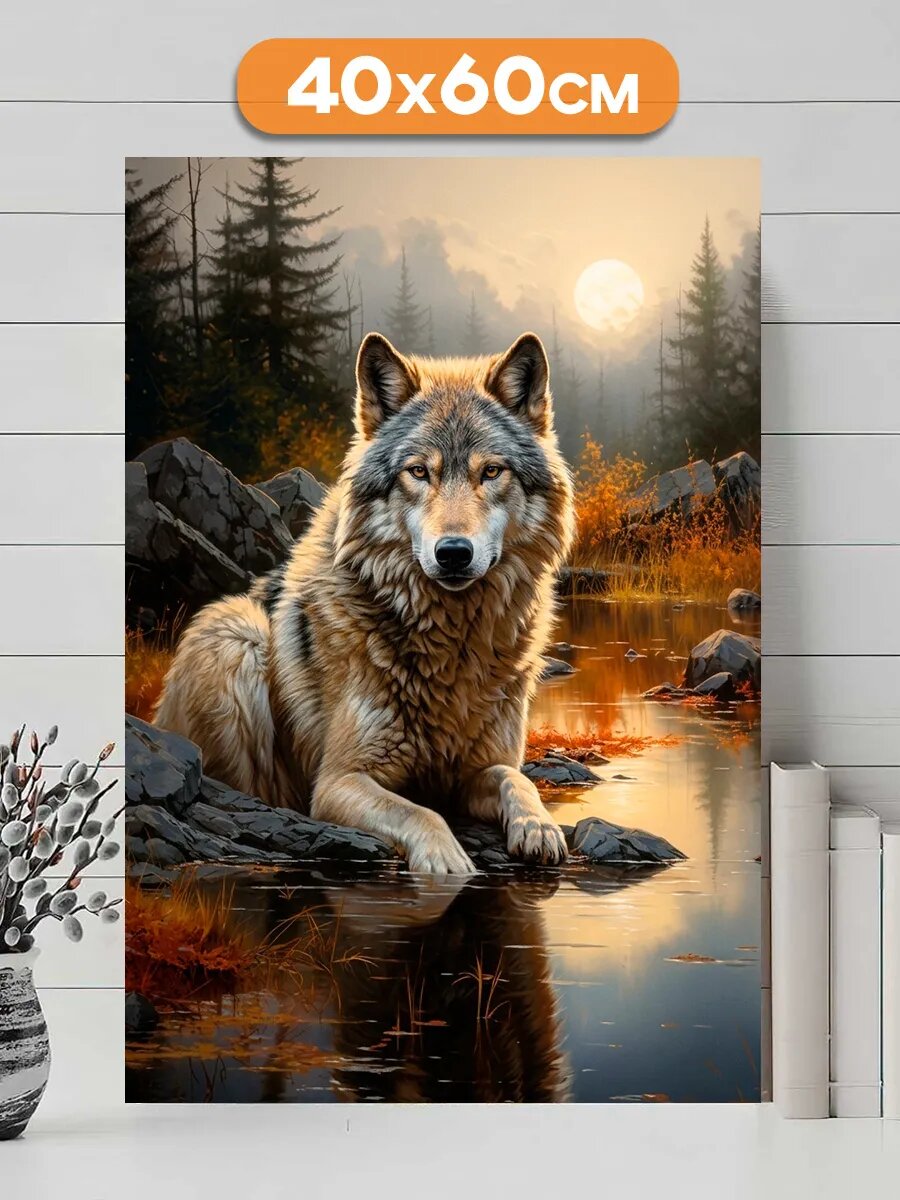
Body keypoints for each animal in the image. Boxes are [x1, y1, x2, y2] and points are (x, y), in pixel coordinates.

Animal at [155, 331, 575, 874]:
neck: (452, 646)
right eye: (418, 472)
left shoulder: (476, 769)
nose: (453, 553)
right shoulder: (337, 782)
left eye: (491, 472)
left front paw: (538, 826)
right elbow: (422, 814)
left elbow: (517, 779)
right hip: (233, 632)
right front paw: (450, 866)